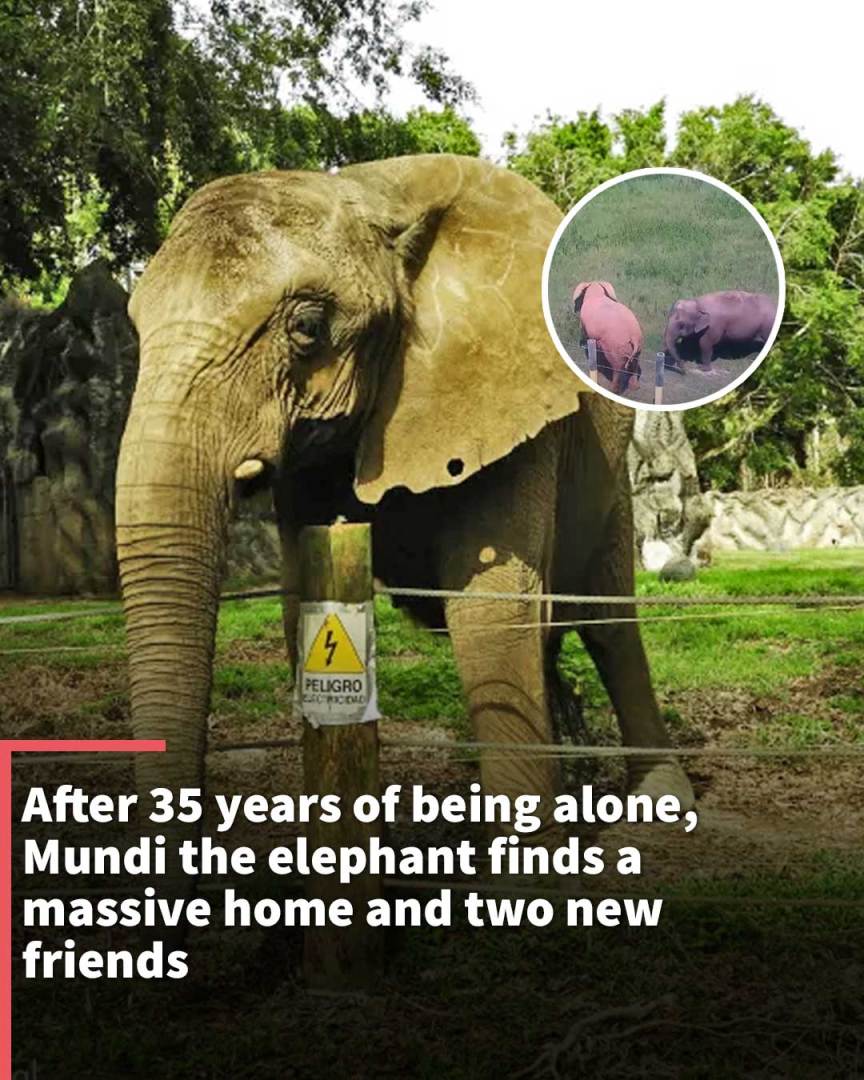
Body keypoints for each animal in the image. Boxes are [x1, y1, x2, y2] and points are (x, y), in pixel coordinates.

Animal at [116, 154, 693, 859]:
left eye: (307, 328)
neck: (370, 198)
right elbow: (304, 604)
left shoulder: (512, 404)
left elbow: (489, 612)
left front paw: (524, 864)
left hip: (609, 476)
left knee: (608, 620)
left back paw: (656, 802)